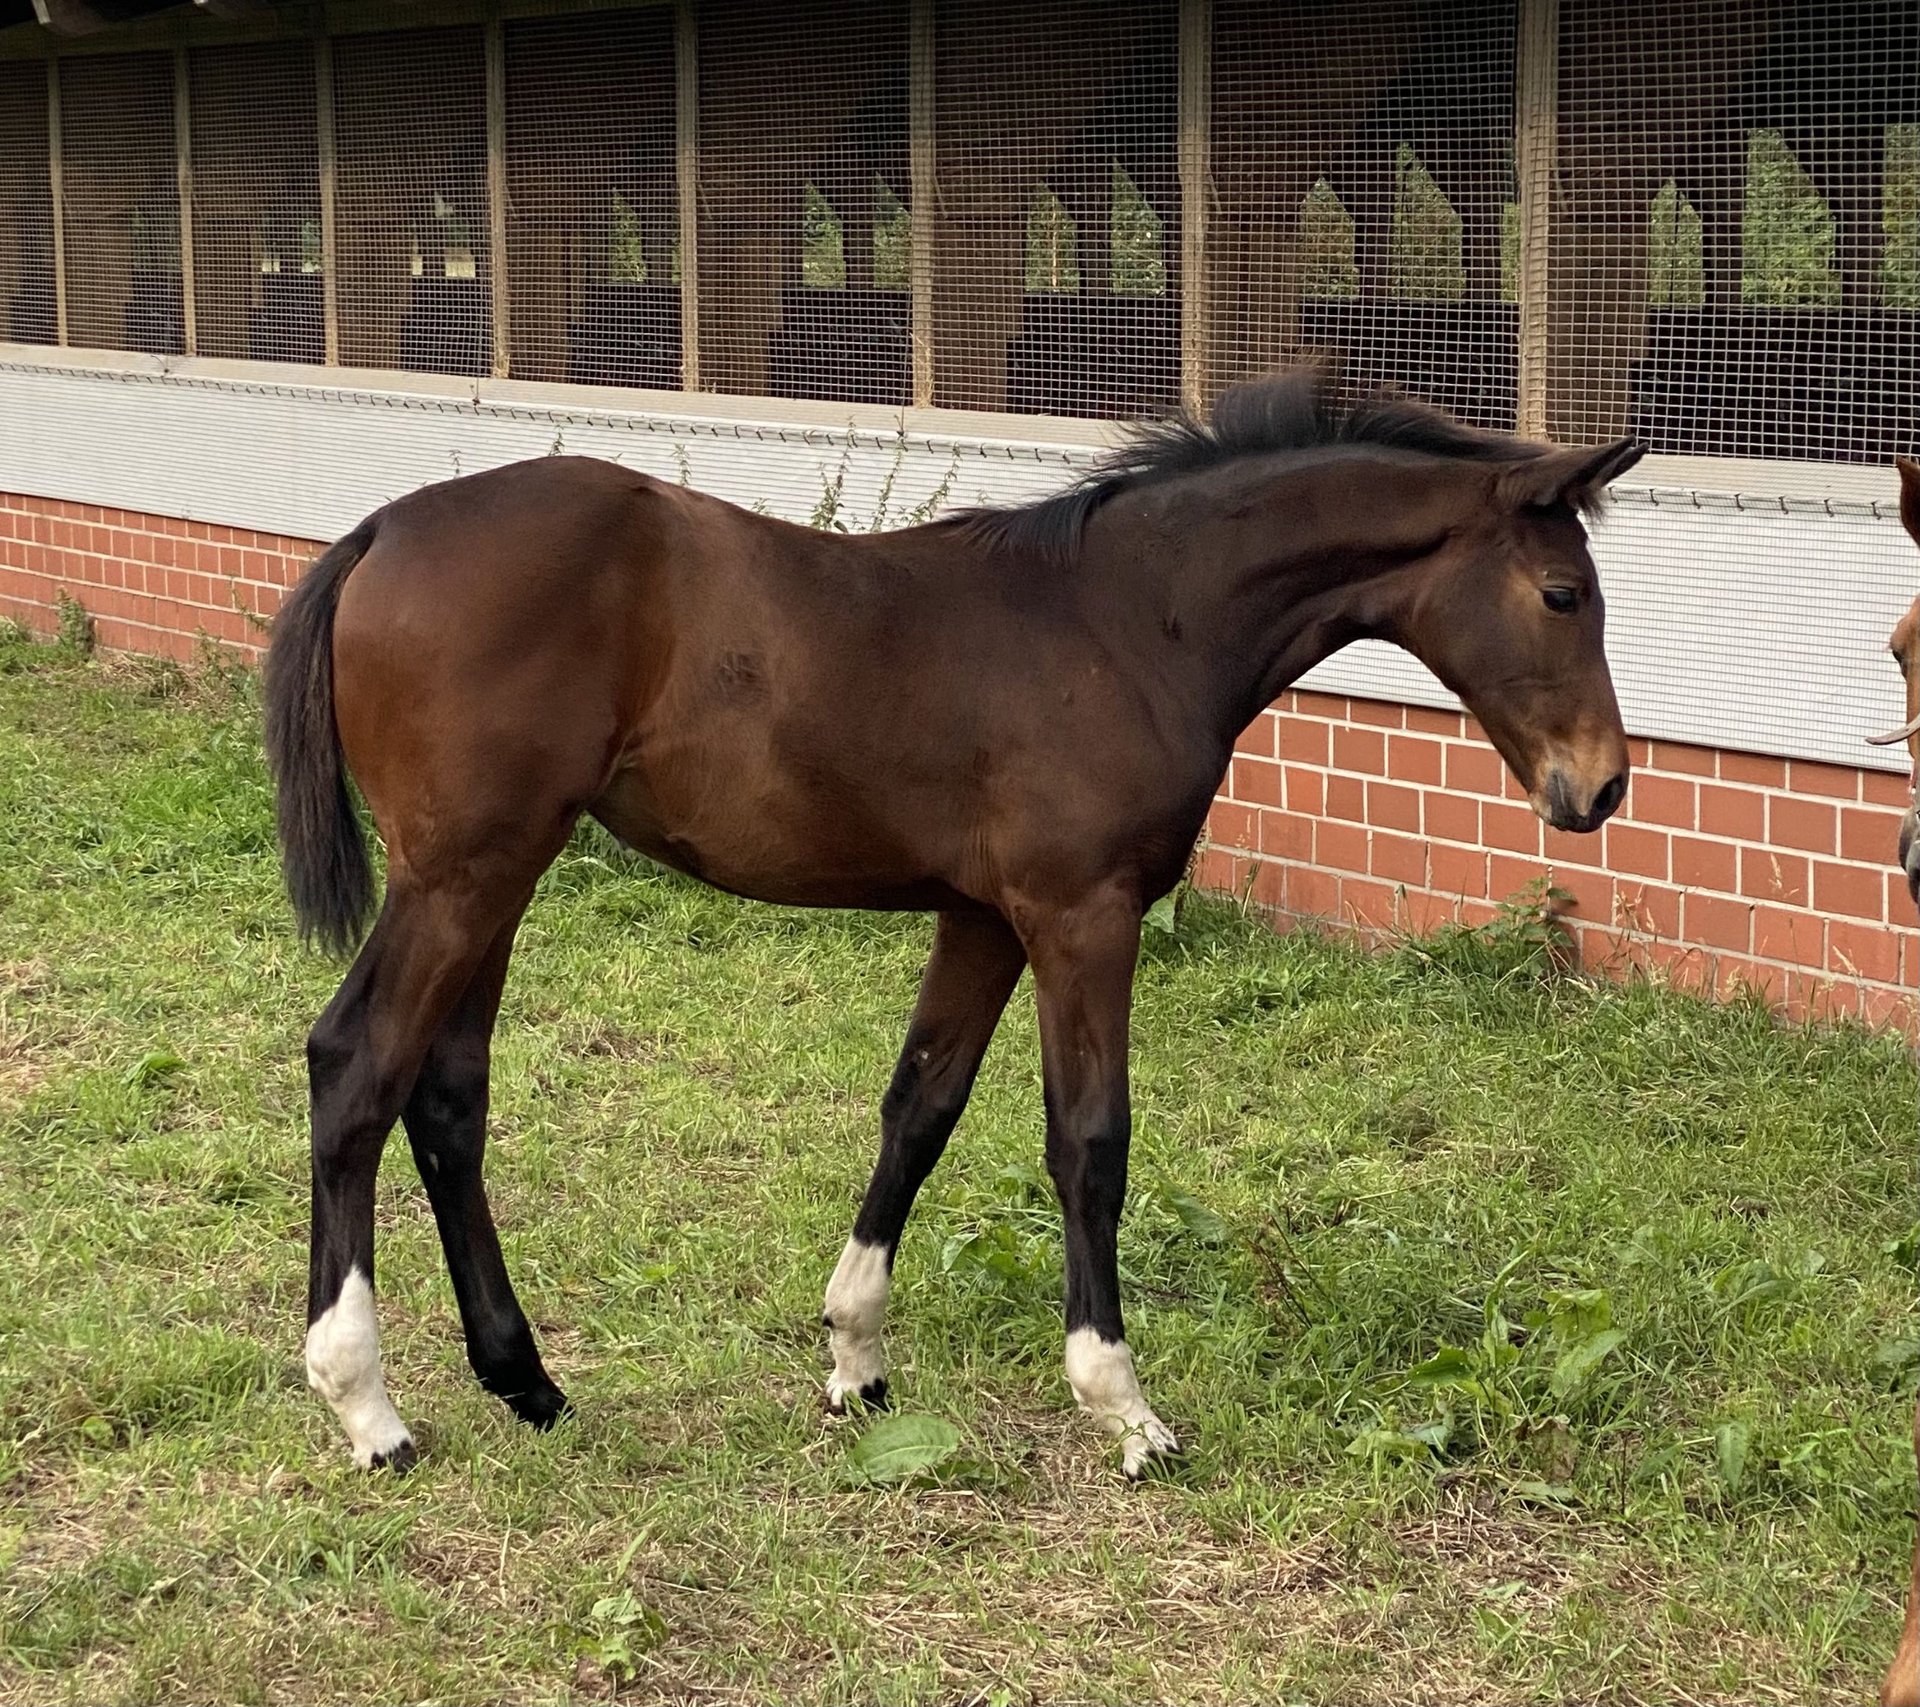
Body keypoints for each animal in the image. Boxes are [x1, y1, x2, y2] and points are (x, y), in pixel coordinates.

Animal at [263, 367, 1638, 1476]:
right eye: (1563, 594)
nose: (1601, 788)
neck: (1128, 620)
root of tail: (379, 531)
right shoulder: (1083, 915)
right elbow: (1090, 1142)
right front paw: (1123, 1409)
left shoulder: (982, 916)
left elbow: (919, 1110)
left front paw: (855, 1358)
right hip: (462, 876)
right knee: (357, 1068)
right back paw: (367, 1407)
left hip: (498, 876)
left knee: (448, 1099)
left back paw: (527, 1381)